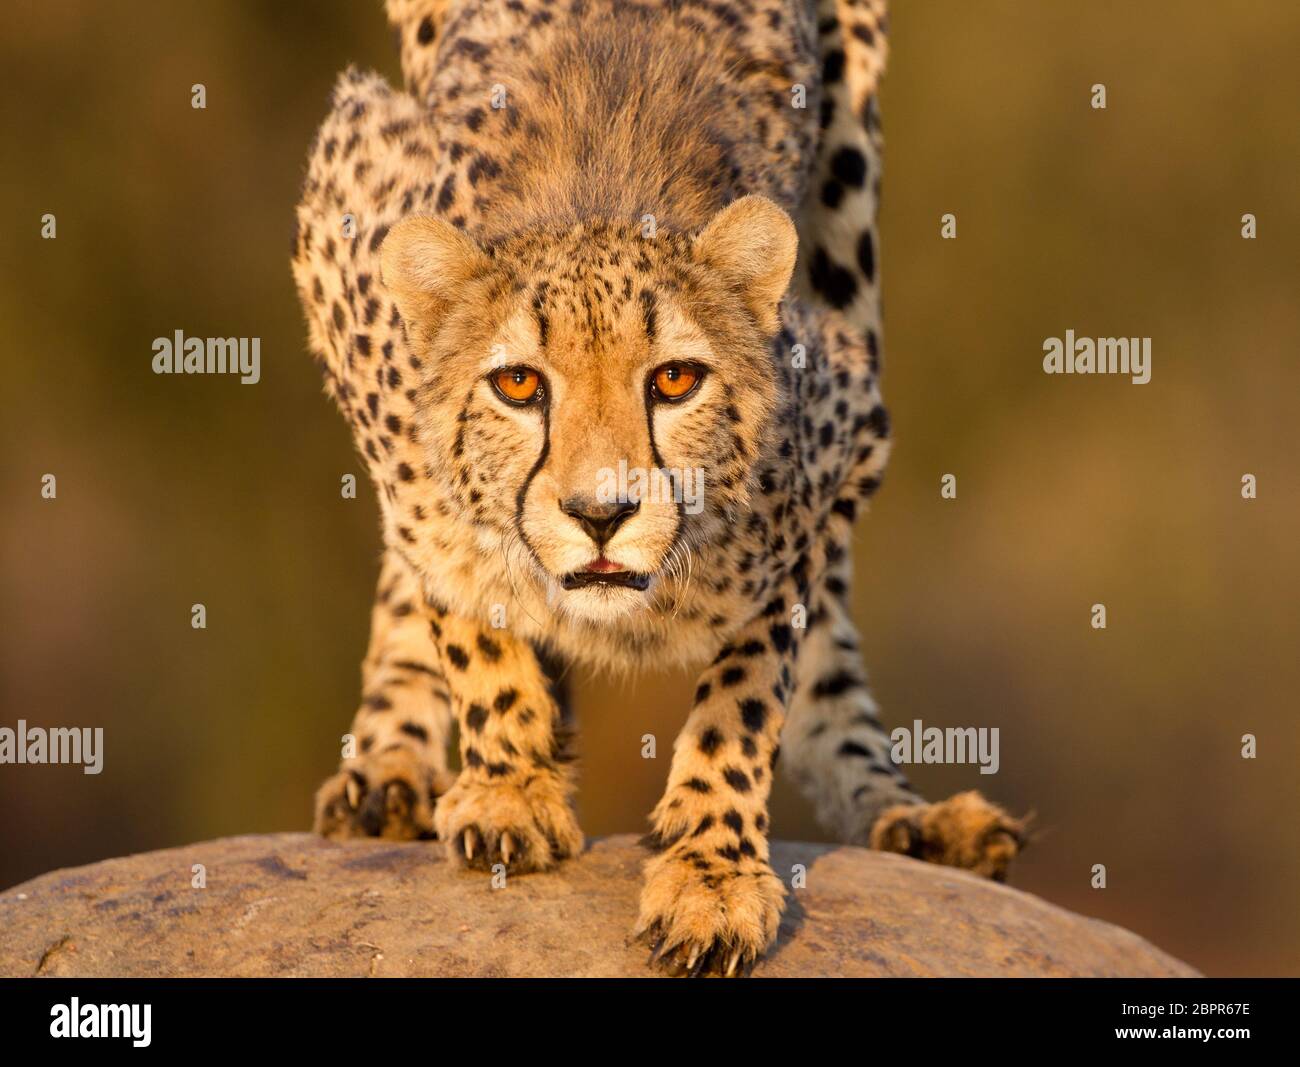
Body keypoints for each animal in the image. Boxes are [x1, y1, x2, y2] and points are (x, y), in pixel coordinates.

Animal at [291, 0, 1026, 977]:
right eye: (518, 384)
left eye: (675, 380)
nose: (601, 514)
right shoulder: (350, 244)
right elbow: (456, 586)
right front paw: (511, 784)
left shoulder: (841, 444)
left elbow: (749, 688)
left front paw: (710, 873)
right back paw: (390, 769)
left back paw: (902, 810)